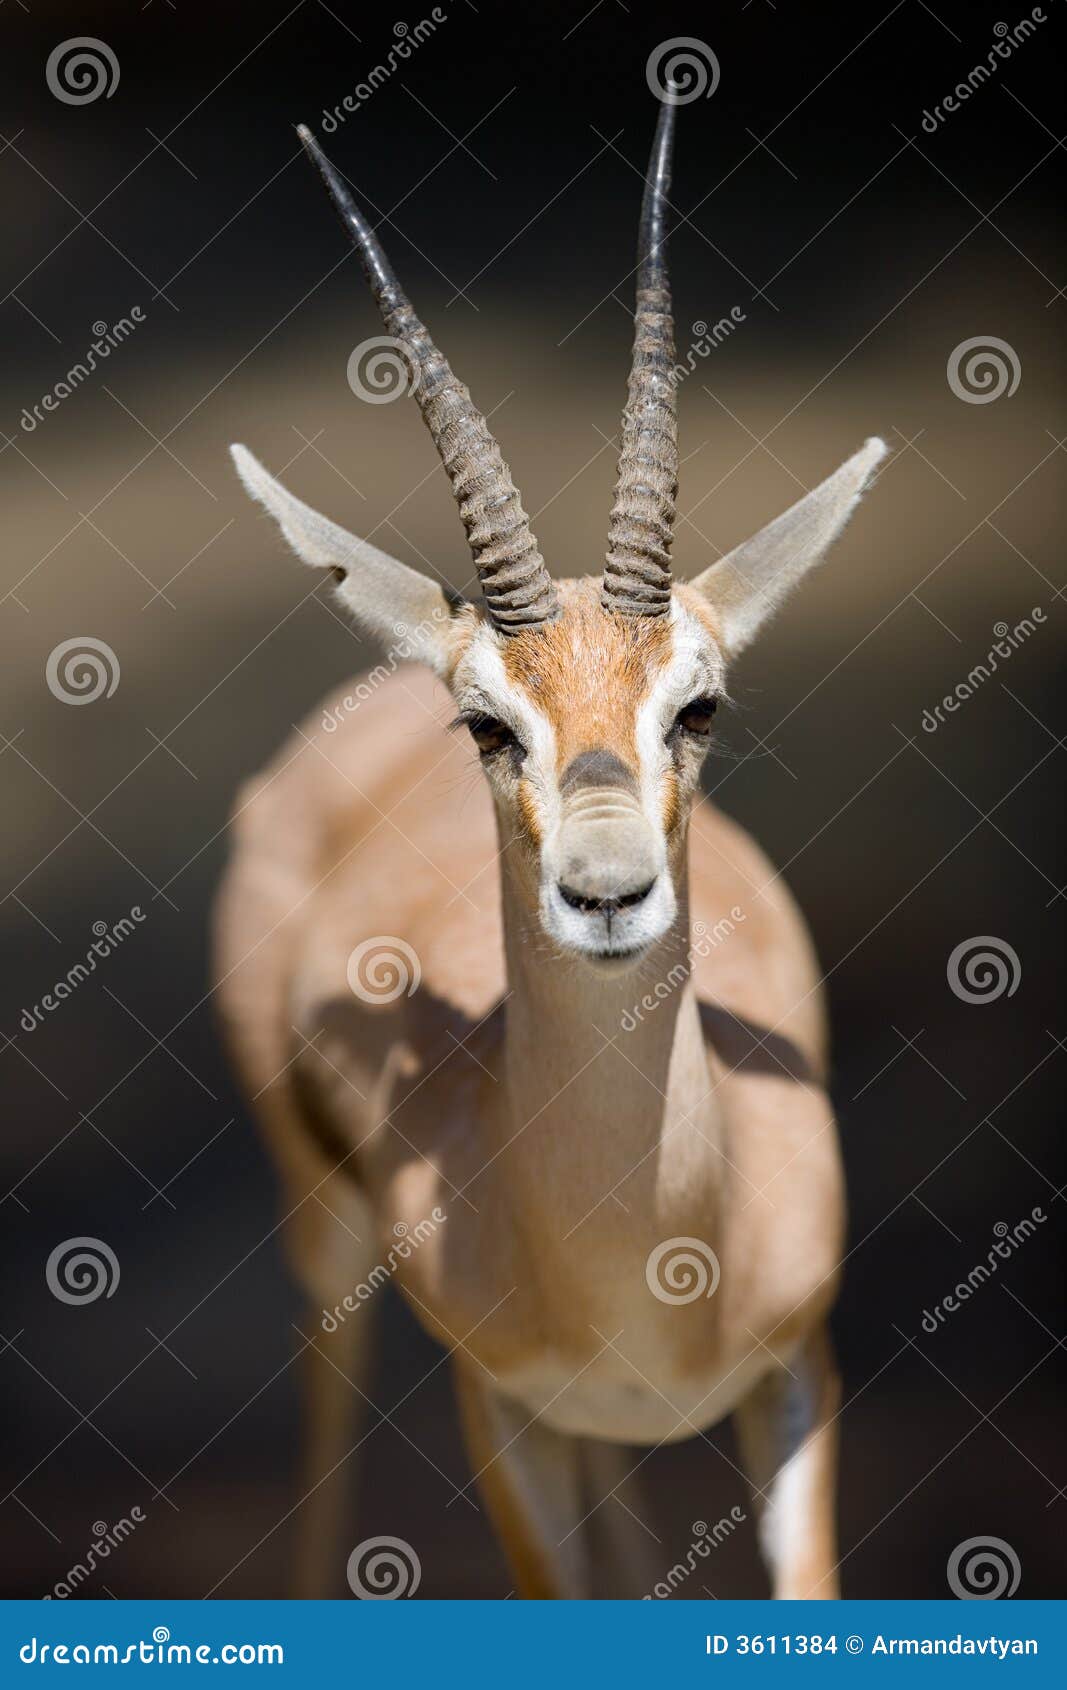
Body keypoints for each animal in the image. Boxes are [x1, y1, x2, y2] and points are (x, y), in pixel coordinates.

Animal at [216, 95, 886, 1600]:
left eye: (696, 705)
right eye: (484, 724)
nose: (605, 892)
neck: (643, 1263)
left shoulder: (797, 1379)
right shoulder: (502, 1414)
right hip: (321, 1242)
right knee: (322, 1409)